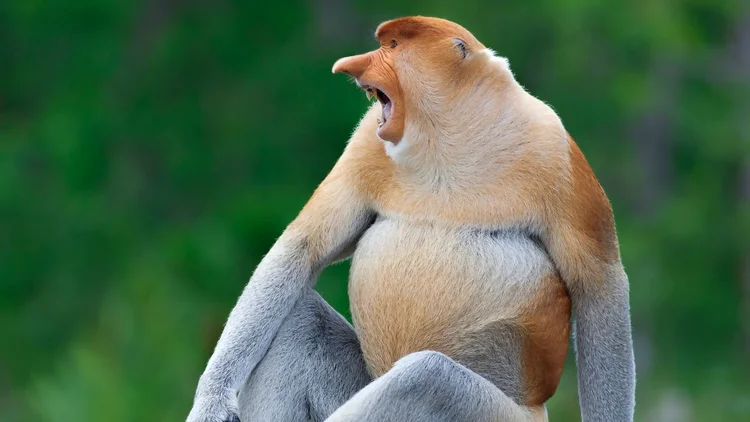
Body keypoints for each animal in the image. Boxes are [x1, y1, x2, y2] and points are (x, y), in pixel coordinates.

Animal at [186, 16, 636, 422]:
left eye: (394, 45)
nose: (348, 65)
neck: (447, 135)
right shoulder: (366, 143)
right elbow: (303, 247)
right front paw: (211, 401)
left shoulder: (556, 150)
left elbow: (599, 285)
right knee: (300, 319)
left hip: (496, 414)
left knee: (426, 377)